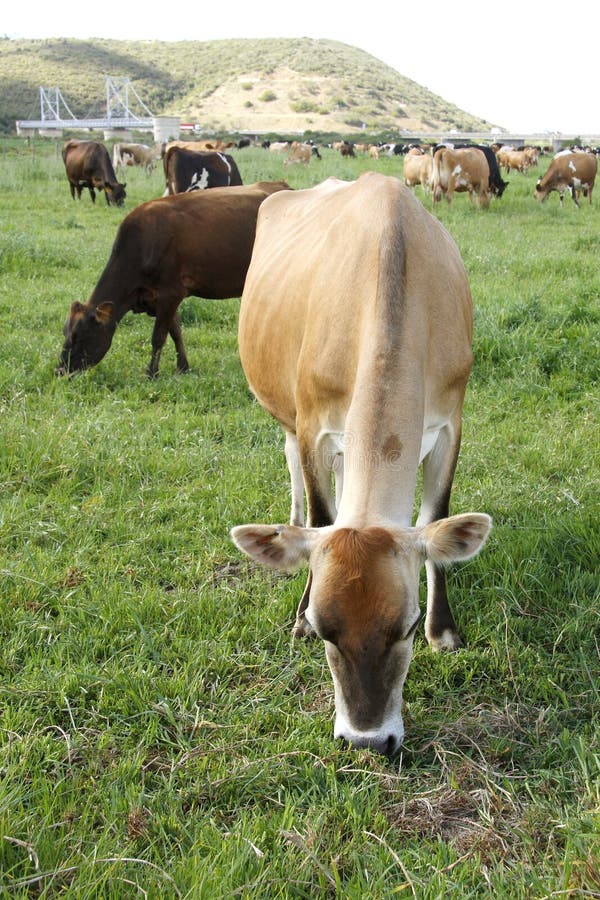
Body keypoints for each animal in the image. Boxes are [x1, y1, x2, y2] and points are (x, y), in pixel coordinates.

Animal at [56, 181, 291, 378]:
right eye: (66, 333)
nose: (60, 371)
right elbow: (176, 331)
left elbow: (158, 336)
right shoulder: (158, 299)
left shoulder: (171, 293)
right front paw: (182, 367)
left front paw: (152, 373)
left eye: (79, 336)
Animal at [230, 173, 492, 755]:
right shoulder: (313, 424)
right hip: (285, 412)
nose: (367, 741)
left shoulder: (451, 422)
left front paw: (446, 631)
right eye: (328, 630)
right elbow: (325, 516)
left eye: (408, 626)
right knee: (293, 469)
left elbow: (435, 516)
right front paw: (300, 612)